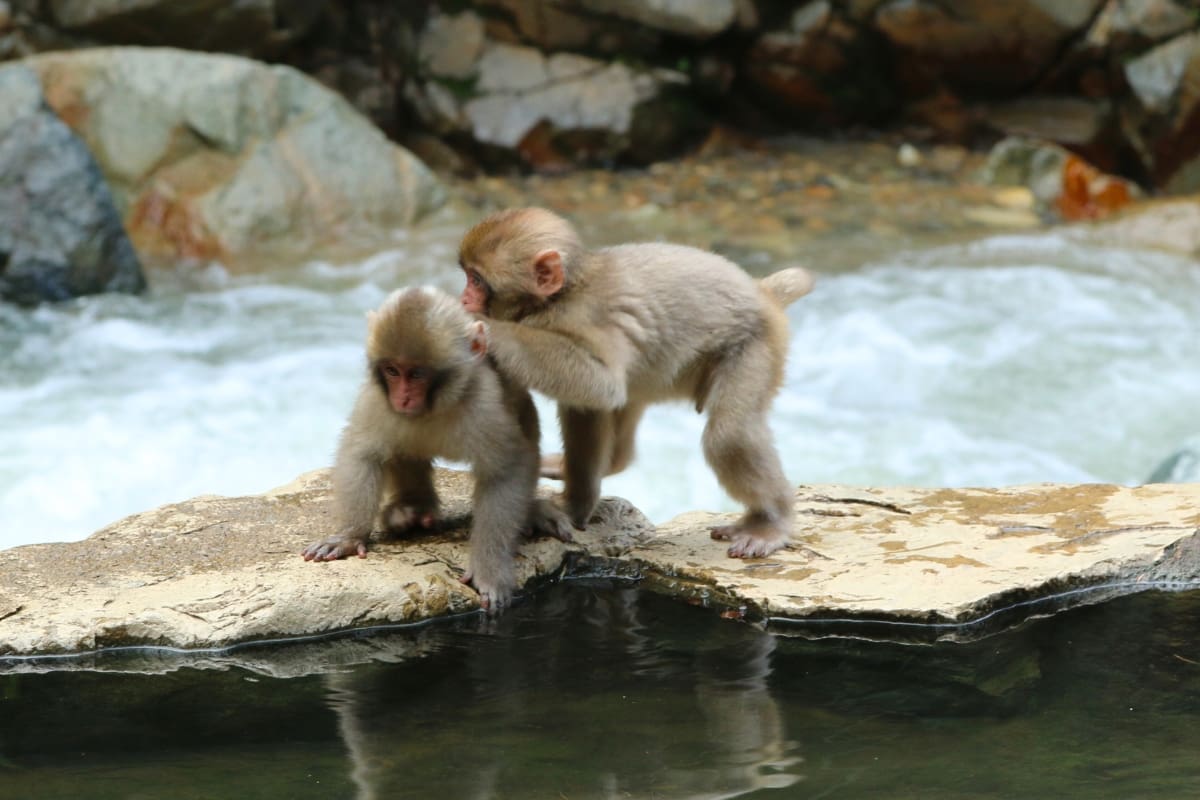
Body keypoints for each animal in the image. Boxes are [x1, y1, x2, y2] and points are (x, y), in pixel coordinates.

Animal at [301, 286, 572, 611]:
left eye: (417, 374)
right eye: (392, 371)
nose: (403, 398)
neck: (438, 405)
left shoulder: (485, 405)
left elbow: (506, 470)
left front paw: (489, 570)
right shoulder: (377, 397)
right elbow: (362, 453)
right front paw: (349, 537)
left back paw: (531, 511)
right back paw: (413, 509)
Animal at [458, 207, 814, 559]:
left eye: (476, 280)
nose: (463, 300)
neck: (562, 295)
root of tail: (763, 291)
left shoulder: (585, 317)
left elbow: (600, 383)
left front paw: (486, 329)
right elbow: (590, 403)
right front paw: (574, 505)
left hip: (758, 345)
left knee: (730, 436)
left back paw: (771, 522)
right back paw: (606, 462)